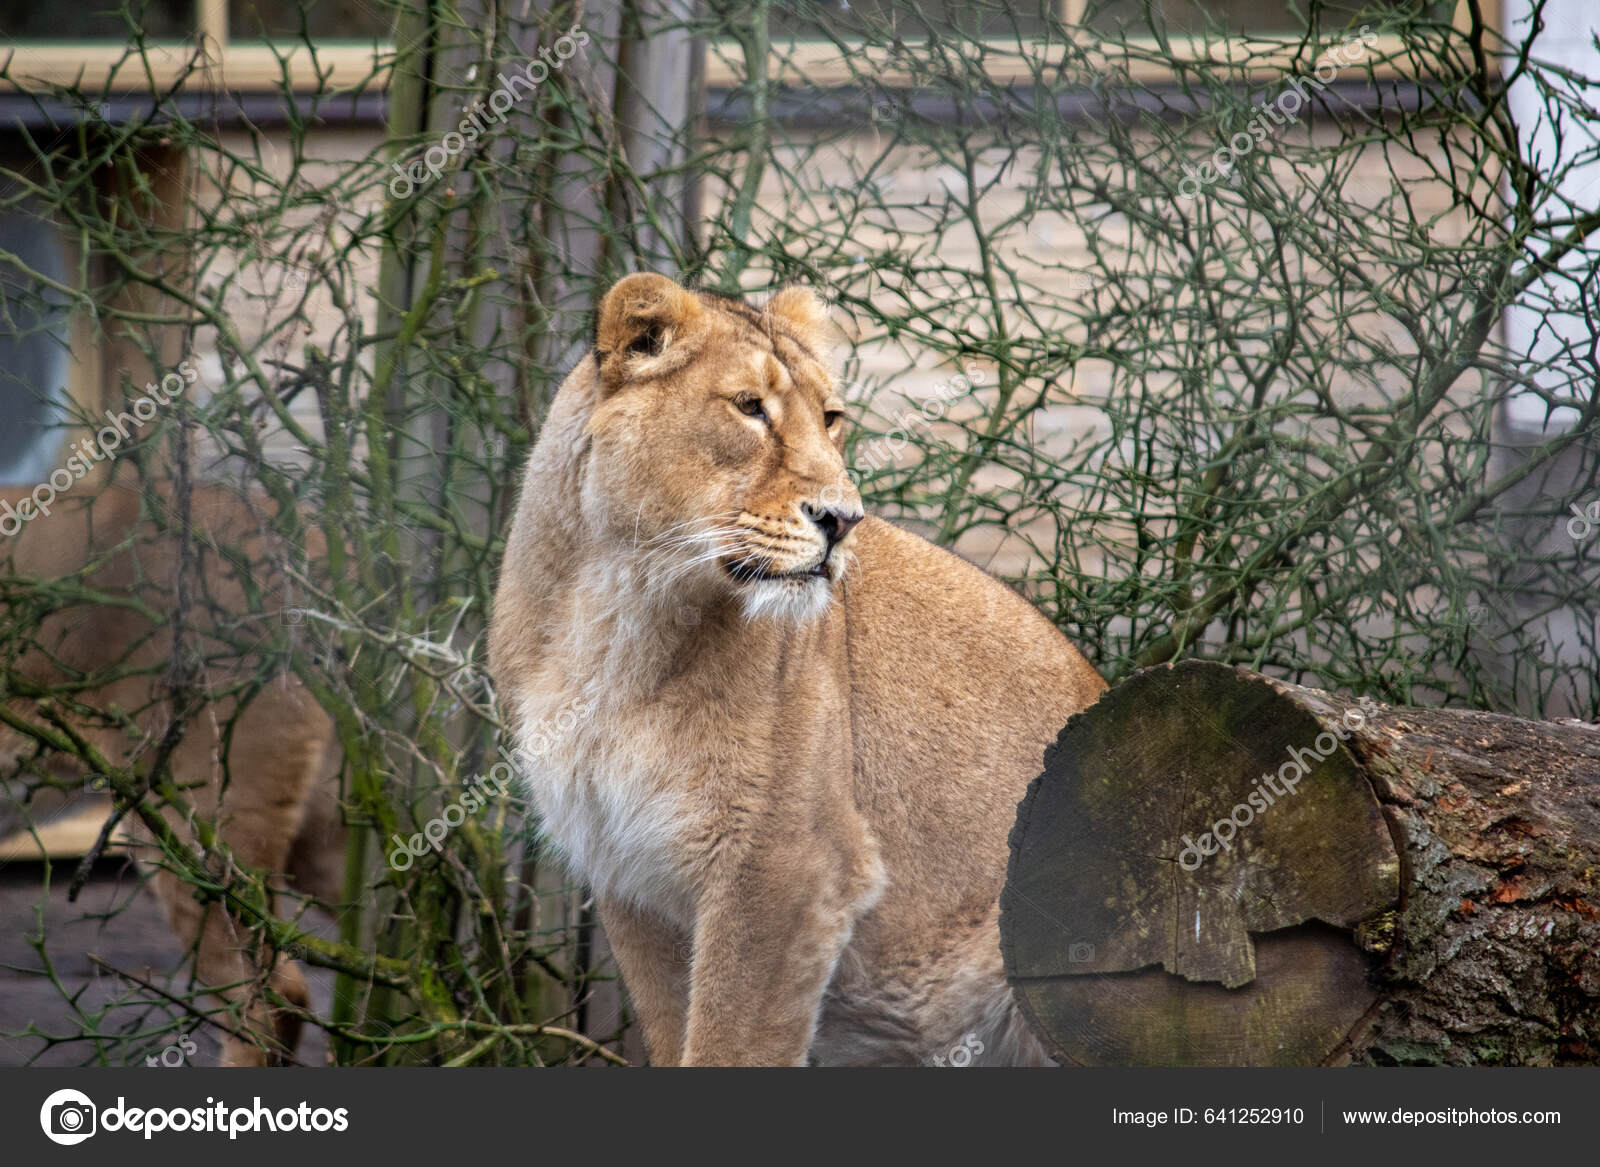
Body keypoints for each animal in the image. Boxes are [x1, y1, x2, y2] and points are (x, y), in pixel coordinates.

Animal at [488, 273, 1106, 1066]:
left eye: (832, 418)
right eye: (750, 407)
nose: (844, 519)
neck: (615, 615)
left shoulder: (786, 868)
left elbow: (728, 1046)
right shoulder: (630, 877)